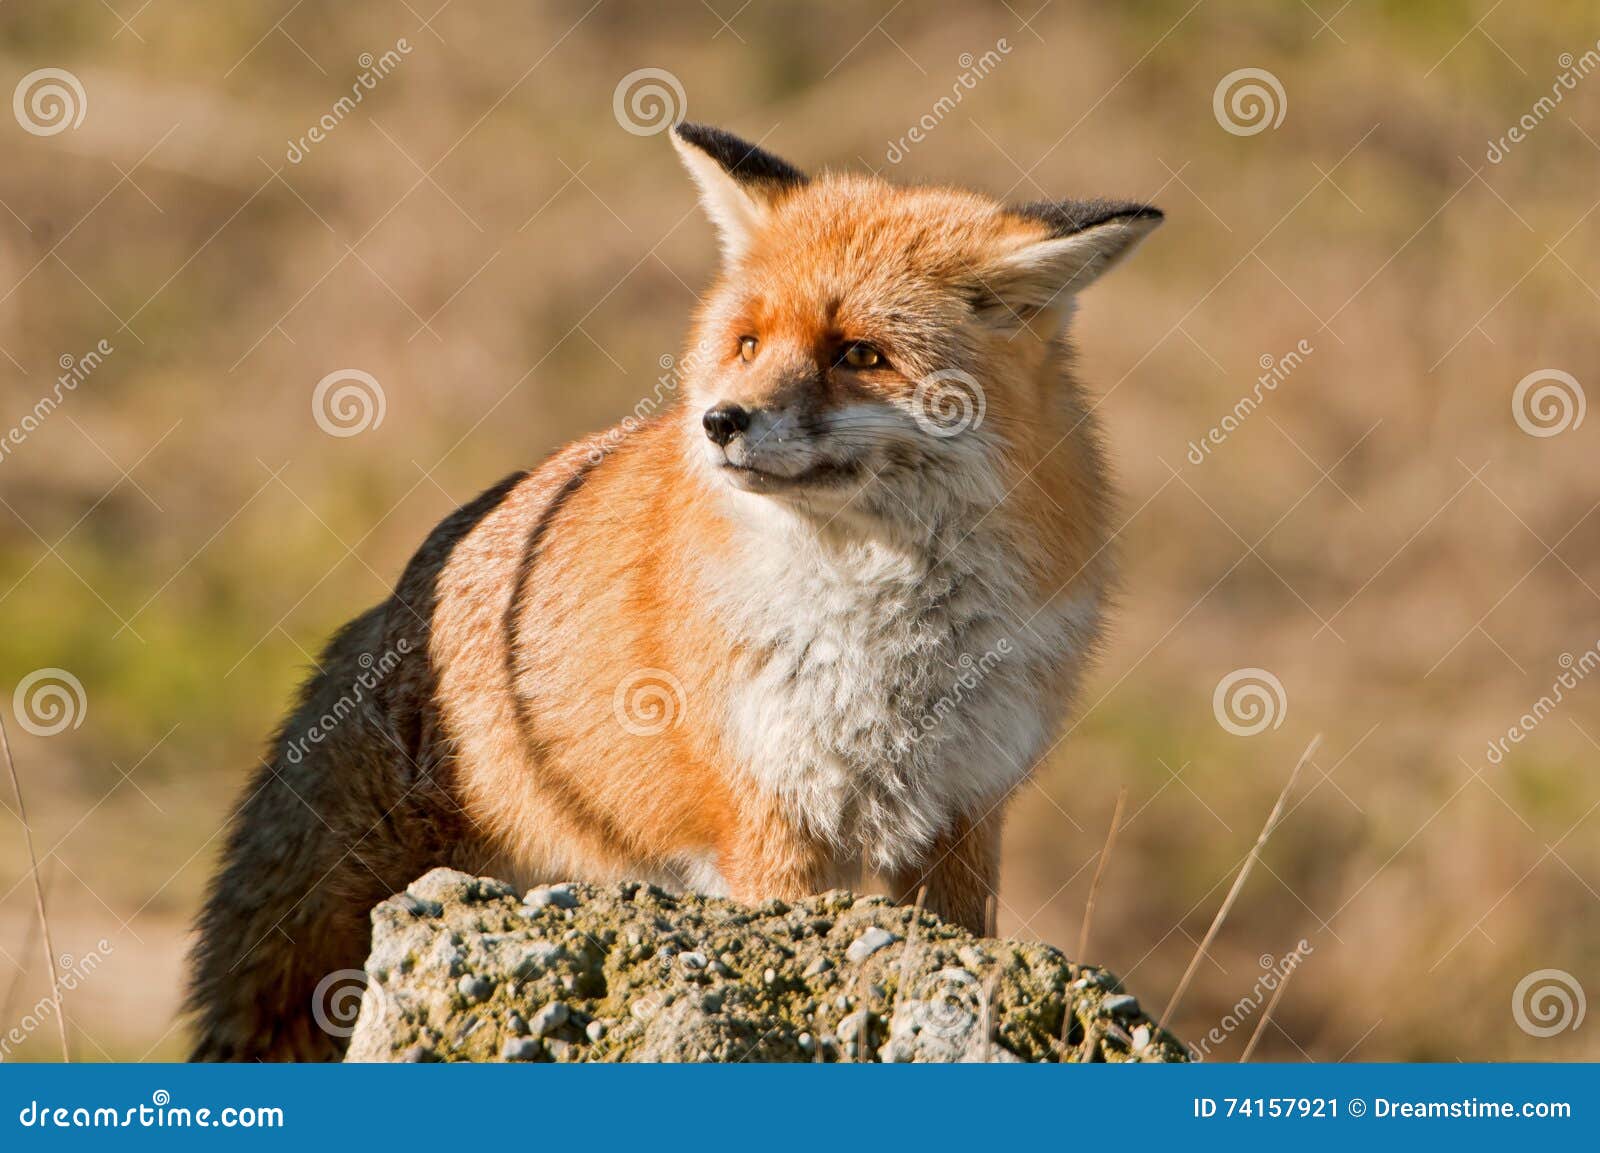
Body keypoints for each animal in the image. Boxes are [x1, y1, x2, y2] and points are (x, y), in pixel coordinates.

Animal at [185, 123, 1162, 1060]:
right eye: (748, 343)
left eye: (860, 353)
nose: (720, 420)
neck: (886, 629)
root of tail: (402, 593)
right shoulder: (770, 815)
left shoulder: (963, 805)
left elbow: (965, 939)